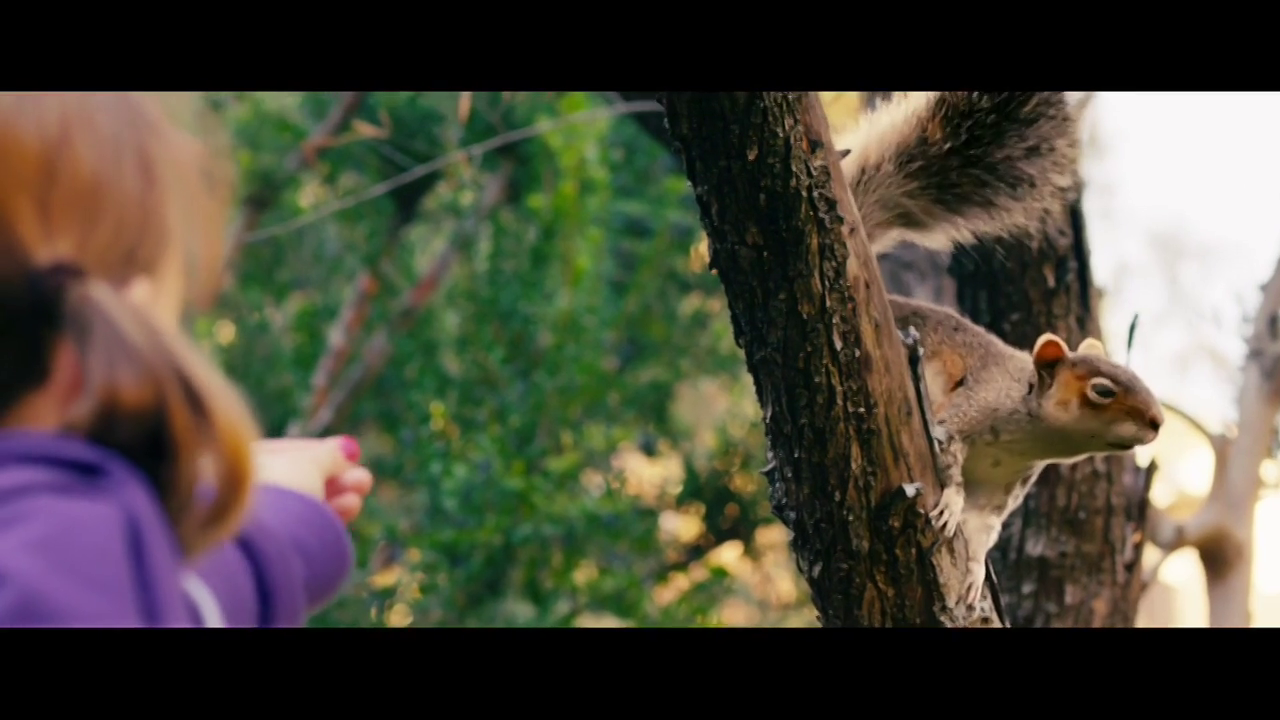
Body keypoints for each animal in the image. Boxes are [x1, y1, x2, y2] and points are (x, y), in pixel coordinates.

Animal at [832, 92, 1165, 608]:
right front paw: (949, 502)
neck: (1029, 431)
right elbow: (948, 458)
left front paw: (972, 571)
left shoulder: (1004, 485)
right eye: (1103, 390)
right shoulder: (973, 403)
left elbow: (983, 530)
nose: (1158, 422)